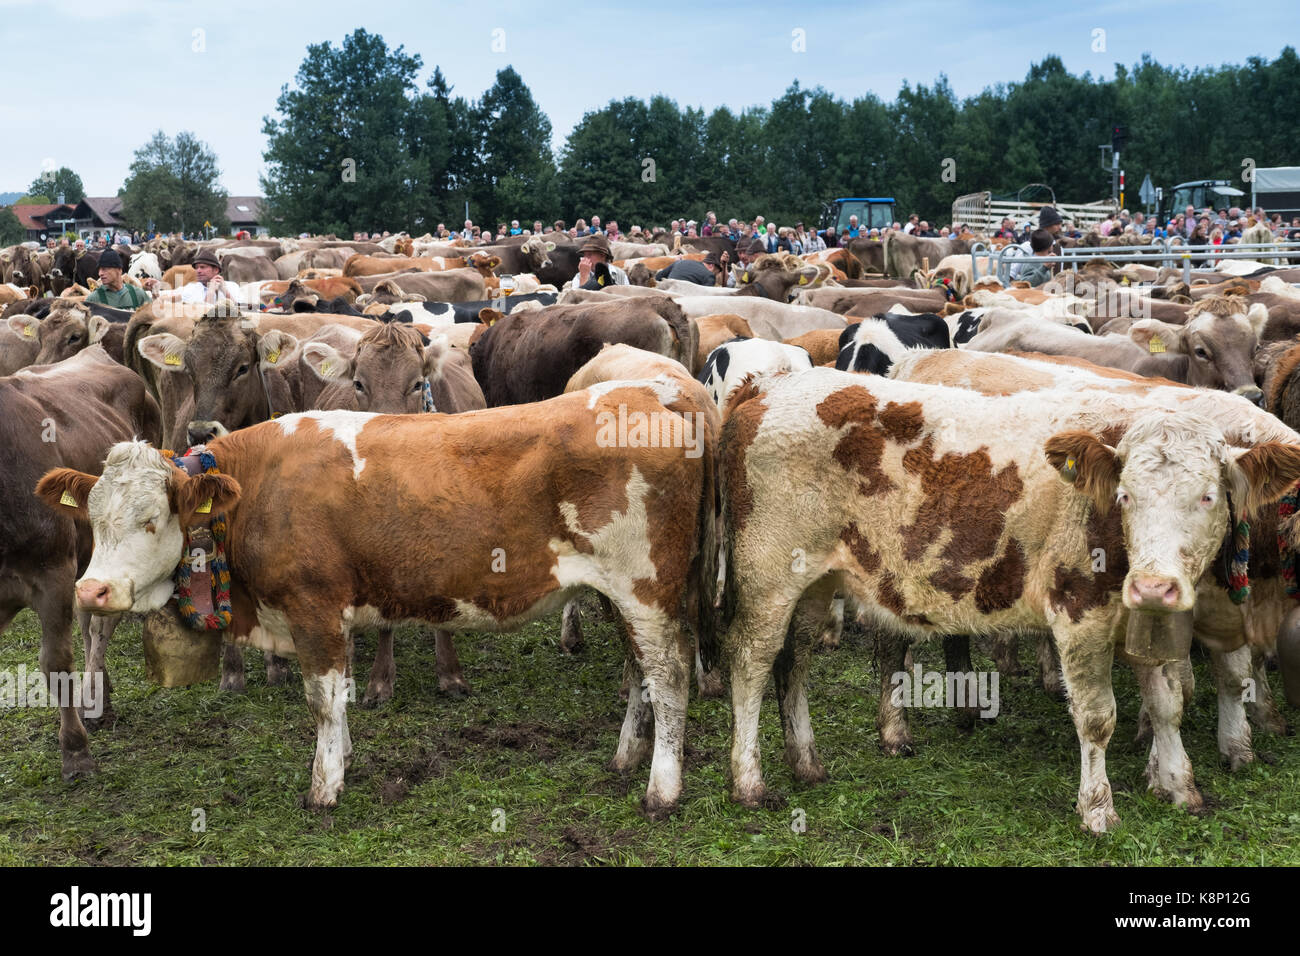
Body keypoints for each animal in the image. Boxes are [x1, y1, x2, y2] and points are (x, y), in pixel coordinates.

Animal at [40, 381, 718, 814]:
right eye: (94, 520)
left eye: (153, 519)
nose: (92, 589)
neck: (261, 485)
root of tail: (658, 391)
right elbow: (338, 696)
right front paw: (343, 757)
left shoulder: (313, 606)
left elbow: (321, 698)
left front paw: (324, 786)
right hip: (620, 595)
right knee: (641, 673)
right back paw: (627, 758)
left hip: (646, 588)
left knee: (670, 675)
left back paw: (662, 789)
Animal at [717, 367, 1300, 832]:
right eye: (1125, 496)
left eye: (1208, 496)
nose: (1155, 584)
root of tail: (769, 384)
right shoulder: (1080, 614)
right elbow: (1097, 717)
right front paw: (1097, 809)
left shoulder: (1148, 619)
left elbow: (1168, 704)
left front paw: (1180, 785)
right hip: (768, 577)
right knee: (751, 662)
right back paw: (748, 781)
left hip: (817, 582)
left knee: (795, 661)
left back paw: (806, 762)